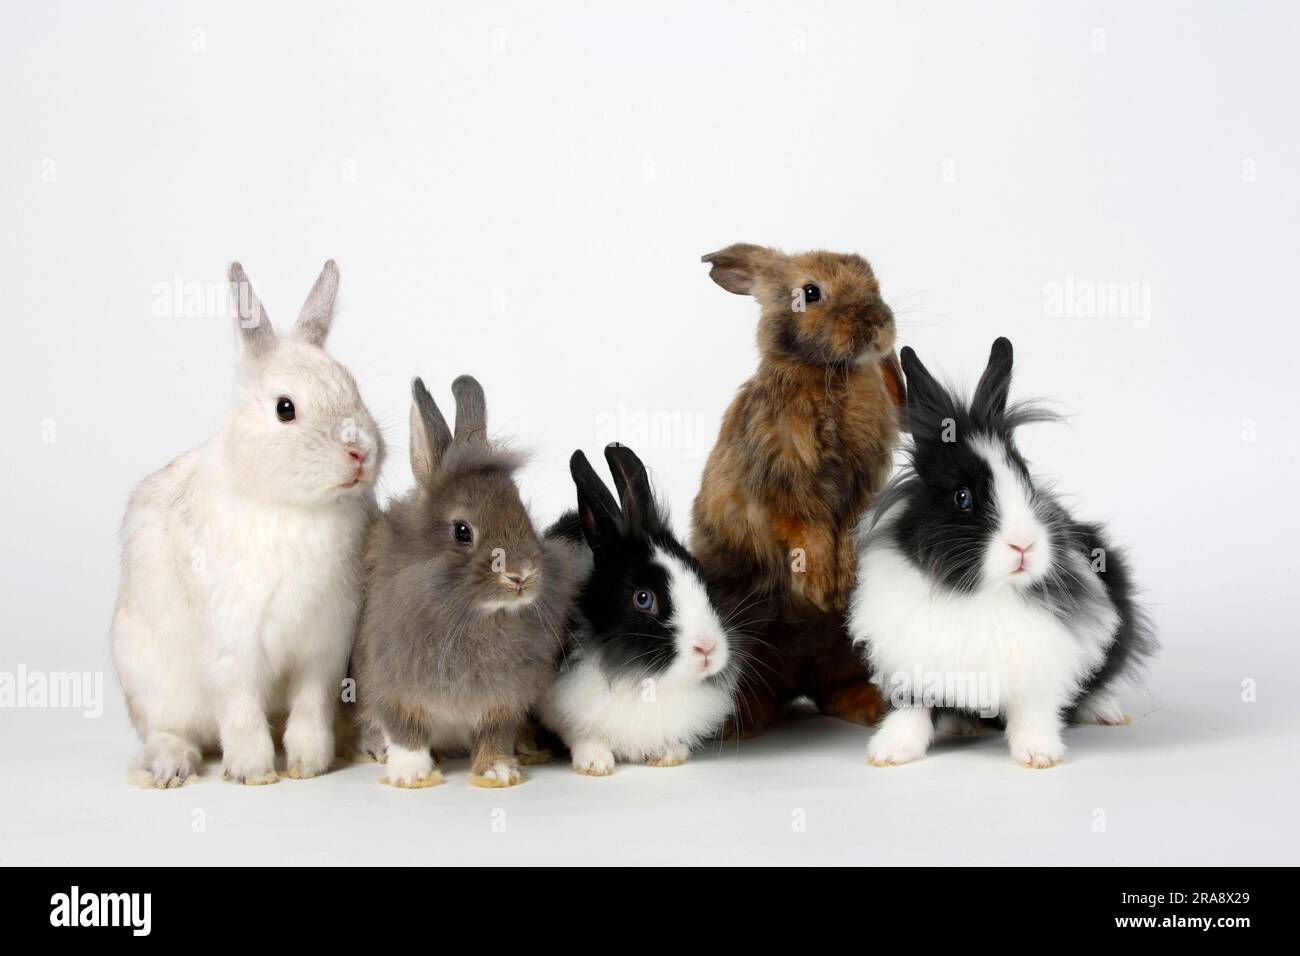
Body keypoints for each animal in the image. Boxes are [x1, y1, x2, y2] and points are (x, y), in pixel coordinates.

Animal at [111, 260, 384, 787]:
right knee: (167, 730)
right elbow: (239, 708)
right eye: (285, 408)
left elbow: (310, 709)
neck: (293, 506)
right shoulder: (232, 647)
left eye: (354, 389)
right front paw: (254, 770)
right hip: (148, 679)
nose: (360, 453)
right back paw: (171, 766)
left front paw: (306, 765)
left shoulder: (323, 649)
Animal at [352, 376, 577, 788]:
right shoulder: (390, 685)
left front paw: (498, 771)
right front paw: (410, 774)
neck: (476, 617)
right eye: (461, 531)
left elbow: (494, 735)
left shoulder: (503, 702)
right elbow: (405, 730)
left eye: (523, 515)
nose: (522, 577)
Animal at [538, 444, 739, 776]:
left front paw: (669, 754)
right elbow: (581, 733)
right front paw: (595, 763)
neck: (643, 675)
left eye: (702, 579)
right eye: (643, 598)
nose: (707, 650)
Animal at [689, 243, 905, 737]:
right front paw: (820, 583)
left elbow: (845, 527)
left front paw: (840, 578)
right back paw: (744, 718)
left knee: (834, 688)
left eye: (874, 281)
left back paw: (870, 705)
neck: (829, 373)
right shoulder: (783, 484)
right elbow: (805, 528)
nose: (878, 323)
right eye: (810, 292)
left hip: (848, 648)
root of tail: (796, 683)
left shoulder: (859, 490)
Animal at [847, 337, 1157, 768]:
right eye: (962, 497)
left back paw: (1106, 711)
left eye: (1025, 478)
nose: (1023, 544)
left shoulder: (1038, 659)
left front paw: (1039, 754)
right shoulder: (910, 660)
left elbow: (1033, 708)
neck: (980, 592)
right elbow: (911, 709)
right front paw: (890, 753)